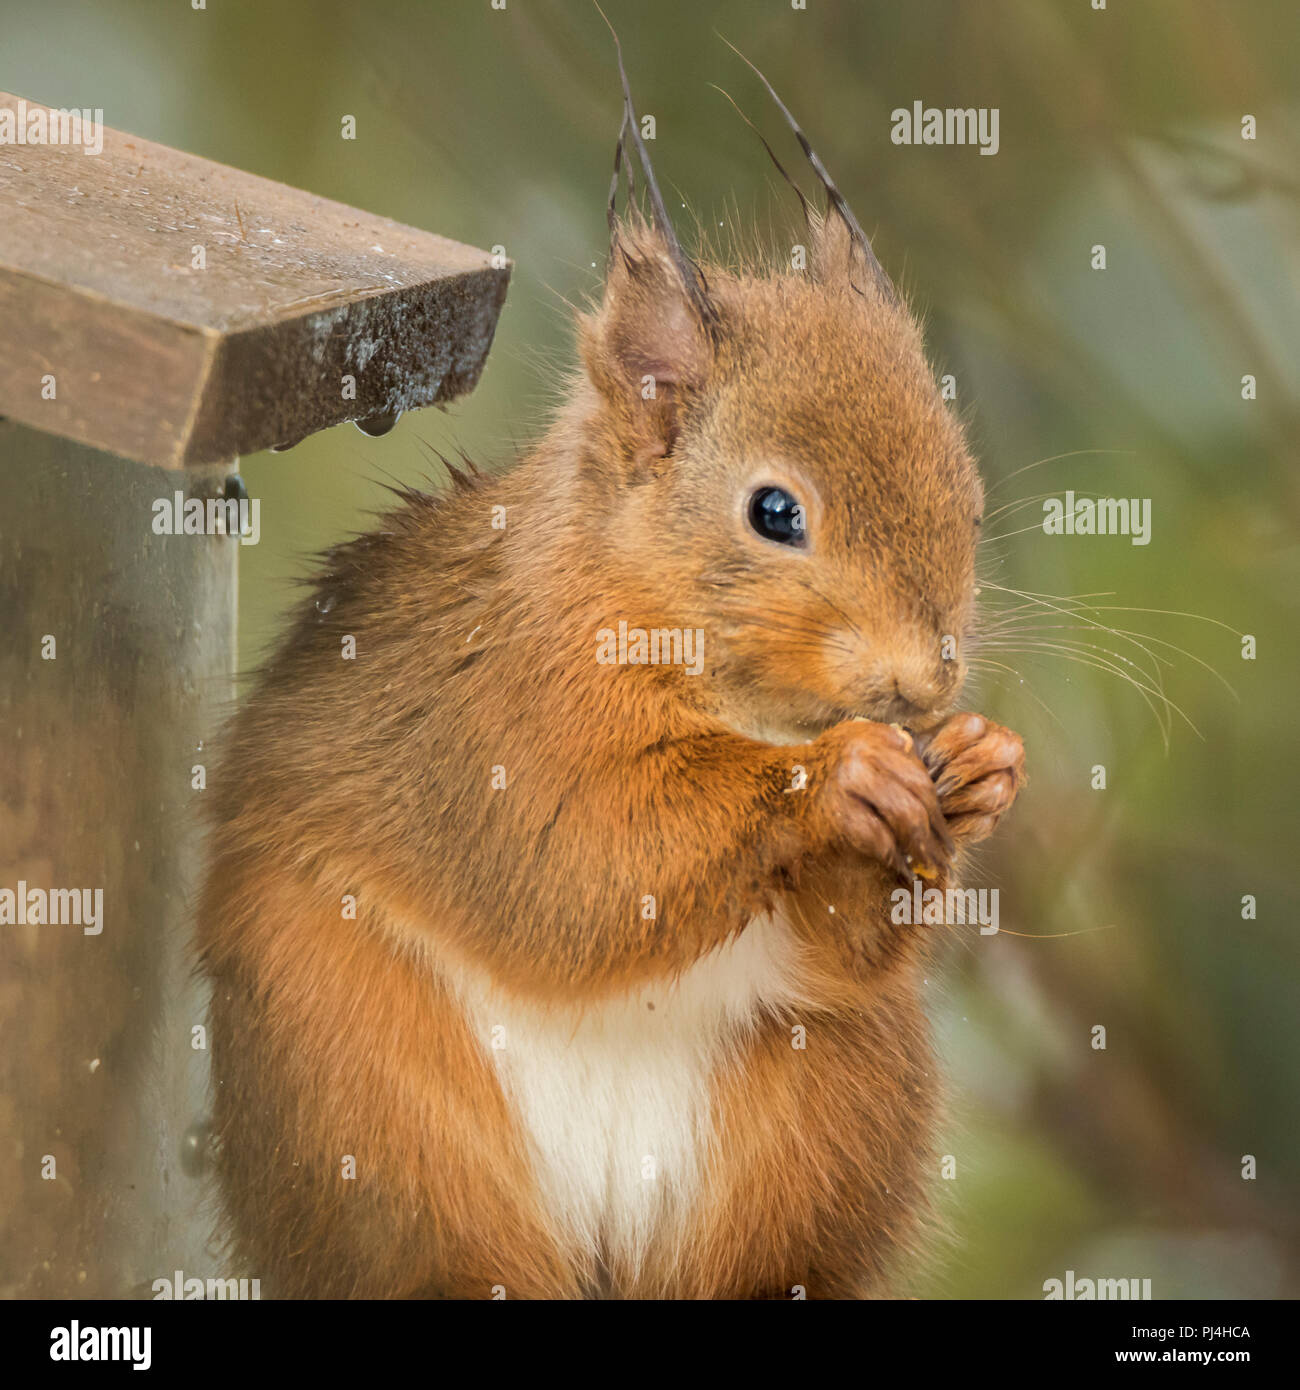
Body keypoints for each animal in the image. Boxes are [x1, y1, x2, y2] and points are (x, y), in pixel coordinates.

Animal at [196, 60, 1026, 1300]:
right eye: (773, 510)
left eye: (967, 501)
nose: (923, 687)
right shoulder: (484, 724)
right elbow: (579, 863)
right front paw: (839, 777)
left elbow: (847, 949)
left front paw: (978, 766)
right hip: (358, 1086)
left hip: (825, 1104)